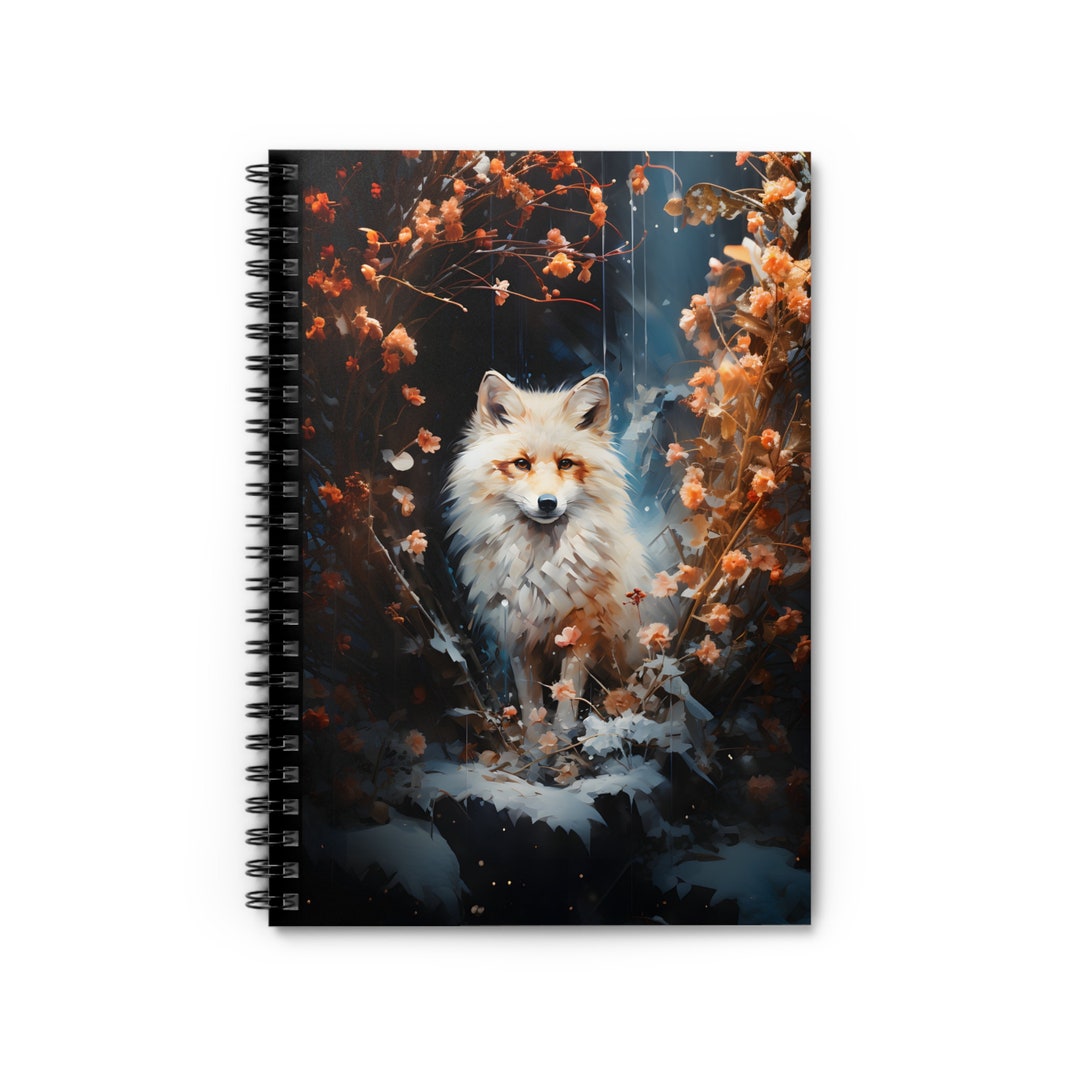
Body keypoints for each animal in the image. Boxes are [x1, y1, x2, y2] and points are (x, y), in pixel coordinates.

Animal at [445, 370, 648, 728]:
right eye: (521, 464)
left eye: (566, 463)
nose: (547, 503)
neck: (538, 568)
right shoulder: (517, 636)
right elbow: (532, 709)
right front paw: (538, 742)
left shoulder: (583, 632)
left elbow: (566, 706)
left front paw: (562, 739)